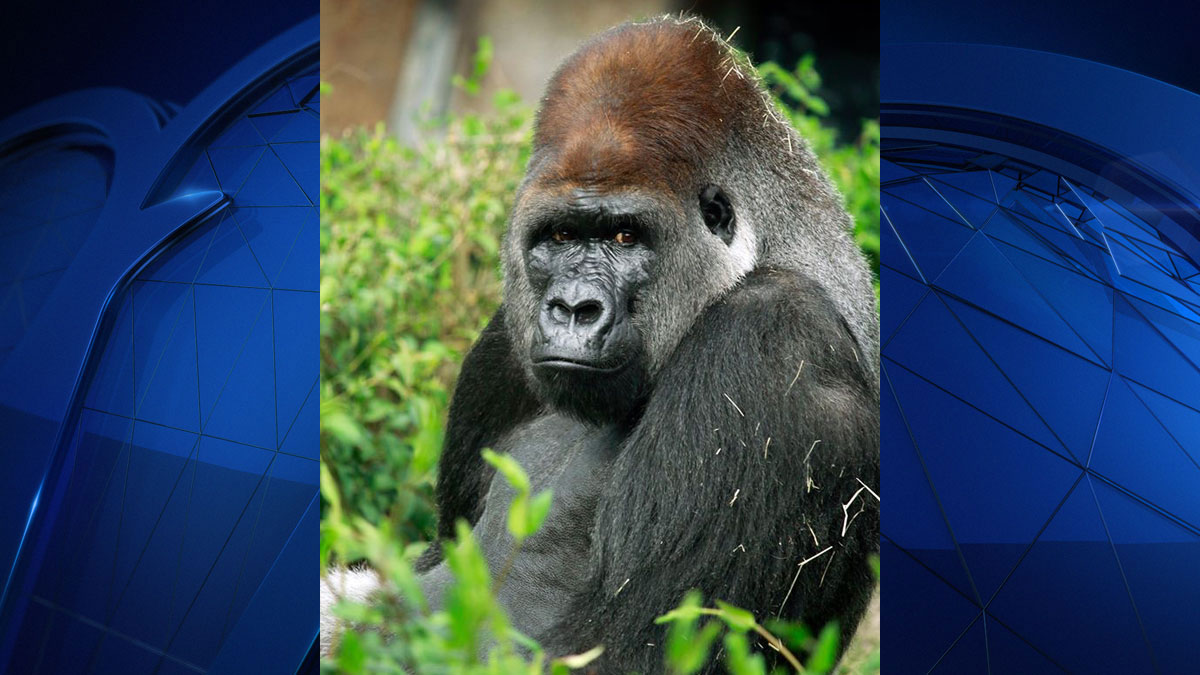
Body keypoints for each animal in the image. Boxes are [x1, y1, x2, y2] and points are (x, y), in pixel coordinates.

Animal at [322, 16, 879, 673]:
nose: (572, 309)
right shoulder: (502, 343)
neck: (767, 251)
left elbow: (631, 647)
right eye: (560, 235)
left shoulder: (772, 341)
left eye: (624, 236)